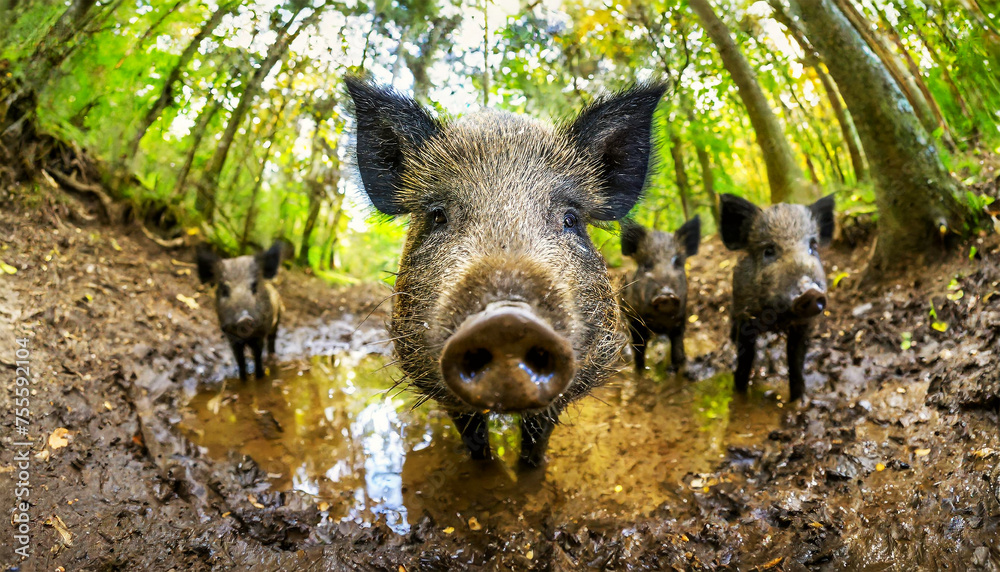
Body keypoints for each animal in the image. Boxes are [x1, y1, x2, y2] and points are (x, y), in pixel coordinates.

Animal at [196, 242, 284, 381]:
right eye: (224, 289)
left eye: (254, 286)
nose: (244, 319)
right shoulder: (232, 339)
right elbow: (240, 361)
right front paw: (243, 379)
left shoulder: (259, 334)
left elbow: (258, 358)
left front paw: (259, 377)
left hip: (277, 318)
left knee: (272, 340)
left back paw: (272, 359)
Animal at [346, 76, 665, 466]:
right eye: (438, 215)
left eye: (570, 219)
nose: (507, 322)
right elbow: (474, 438)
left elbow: (535, 440)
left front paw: (531, 467)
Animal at [620, 216, 701, 372]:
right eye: (647, 265)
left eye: (678, 262)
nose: (666, 293)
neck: (660, 321)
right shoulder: (636, 322)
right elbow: (639, 353)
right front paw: (641, 372)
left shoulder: (680, 321)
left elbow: (677, 353)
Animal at [719, 193, 835, 401]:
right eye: (769, 251)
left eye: (813, 247)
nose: (811, 292)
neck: (778, 318)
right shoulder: (746, 318)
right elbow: (745, 360)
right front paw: (739, 393)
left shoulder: (803, 326)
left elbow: (796, 362)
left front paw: (798, 400)